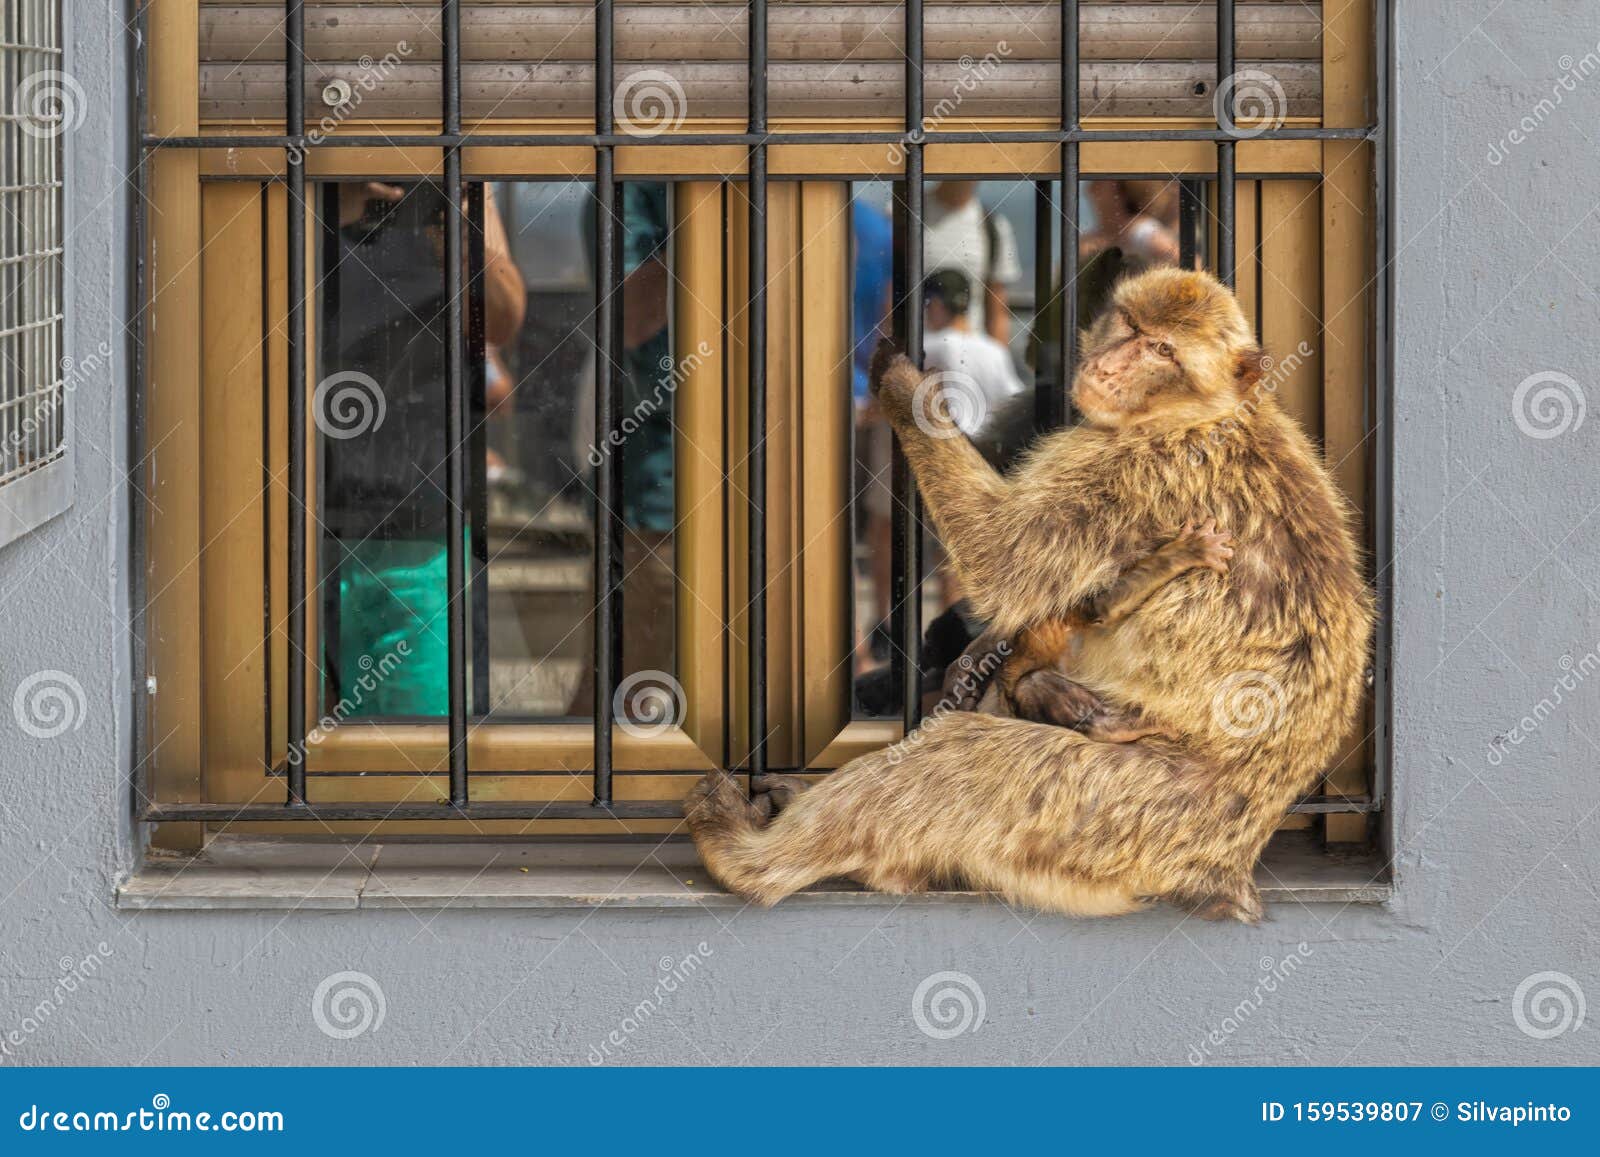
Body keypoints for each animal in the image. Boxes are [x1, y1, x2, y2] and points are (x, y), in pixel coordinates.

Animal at [685, 266, 1373, 923]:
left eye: (1162, 350)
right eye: (1129, 325)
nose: (1109, 367)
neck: (1199, 413)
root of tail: (1229, 859)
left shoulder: (1128, 467)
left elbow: (1003, 558)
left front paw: (905, 384)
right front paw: (981, 655)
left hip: (1118, 813)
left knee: (957, 758)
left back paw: (746, 857)